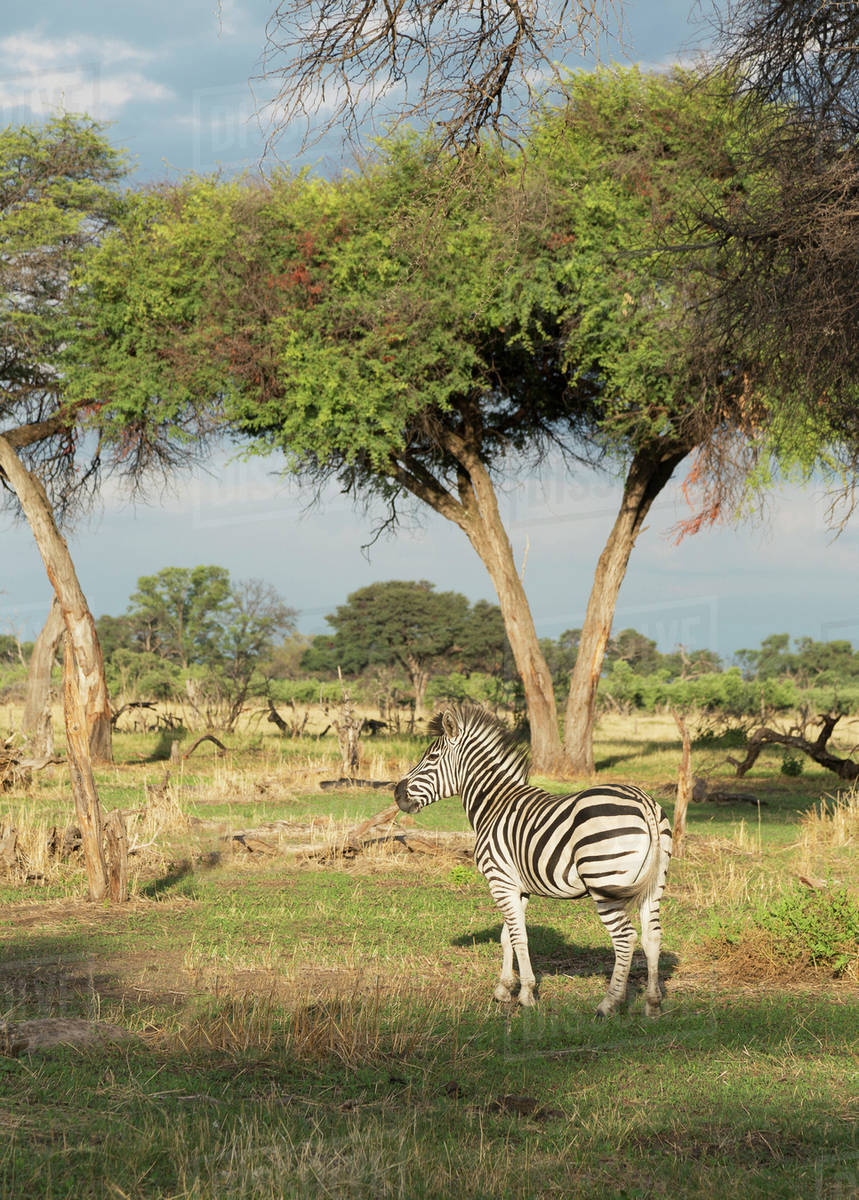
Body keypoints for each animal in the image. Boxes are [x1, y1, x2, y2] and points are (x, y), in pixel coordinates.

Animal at [394, 704, 673, 1018]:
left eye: (431, 757)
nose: (396, 793)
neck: (494, 803)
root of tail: (645, 802)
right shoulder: (518, 886)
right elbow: (508, 936)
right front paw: (504, 989)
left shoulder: (499, 880)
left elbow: (519, 937)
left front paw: (526, 994)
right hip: (654, 883)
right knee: (652, 936)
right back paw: (652, 1004)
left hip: (604, 880)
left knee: (625, 938)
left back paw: (608, 1004)